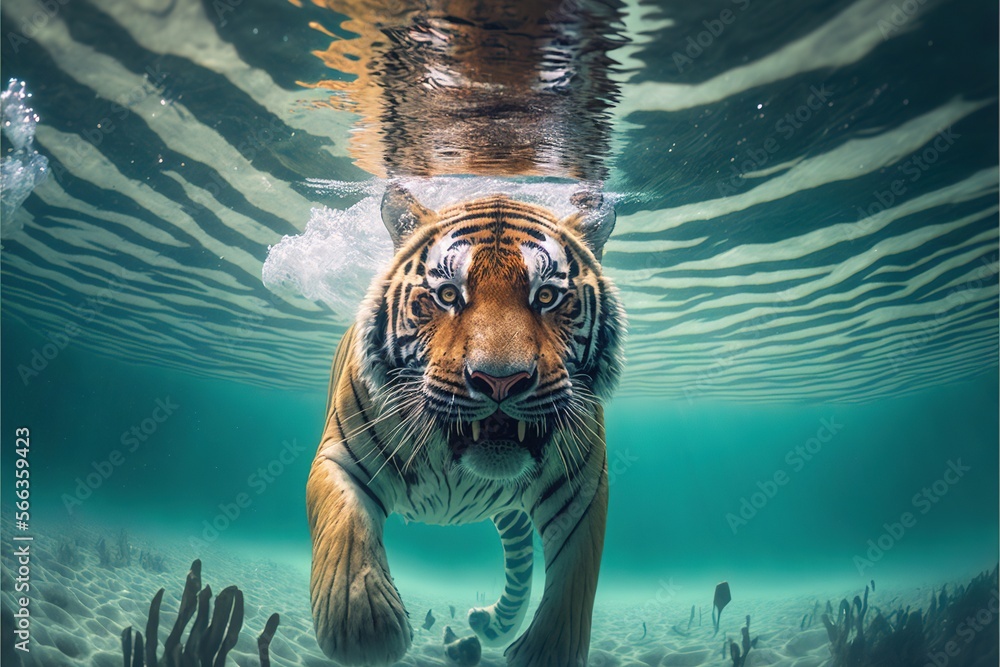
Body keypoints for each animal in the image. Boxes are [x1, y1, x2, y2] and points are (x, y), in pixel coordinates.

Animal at [306, 183, 625, 667]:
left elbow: (574, 581)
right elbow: (345, 527)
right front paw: (364, 625)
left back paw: (486, 625)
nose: (500, 381)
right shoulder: (341, 460)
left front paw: (546, 652)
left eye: (546, 297)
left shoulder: (583, 490)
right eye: (448, 295)